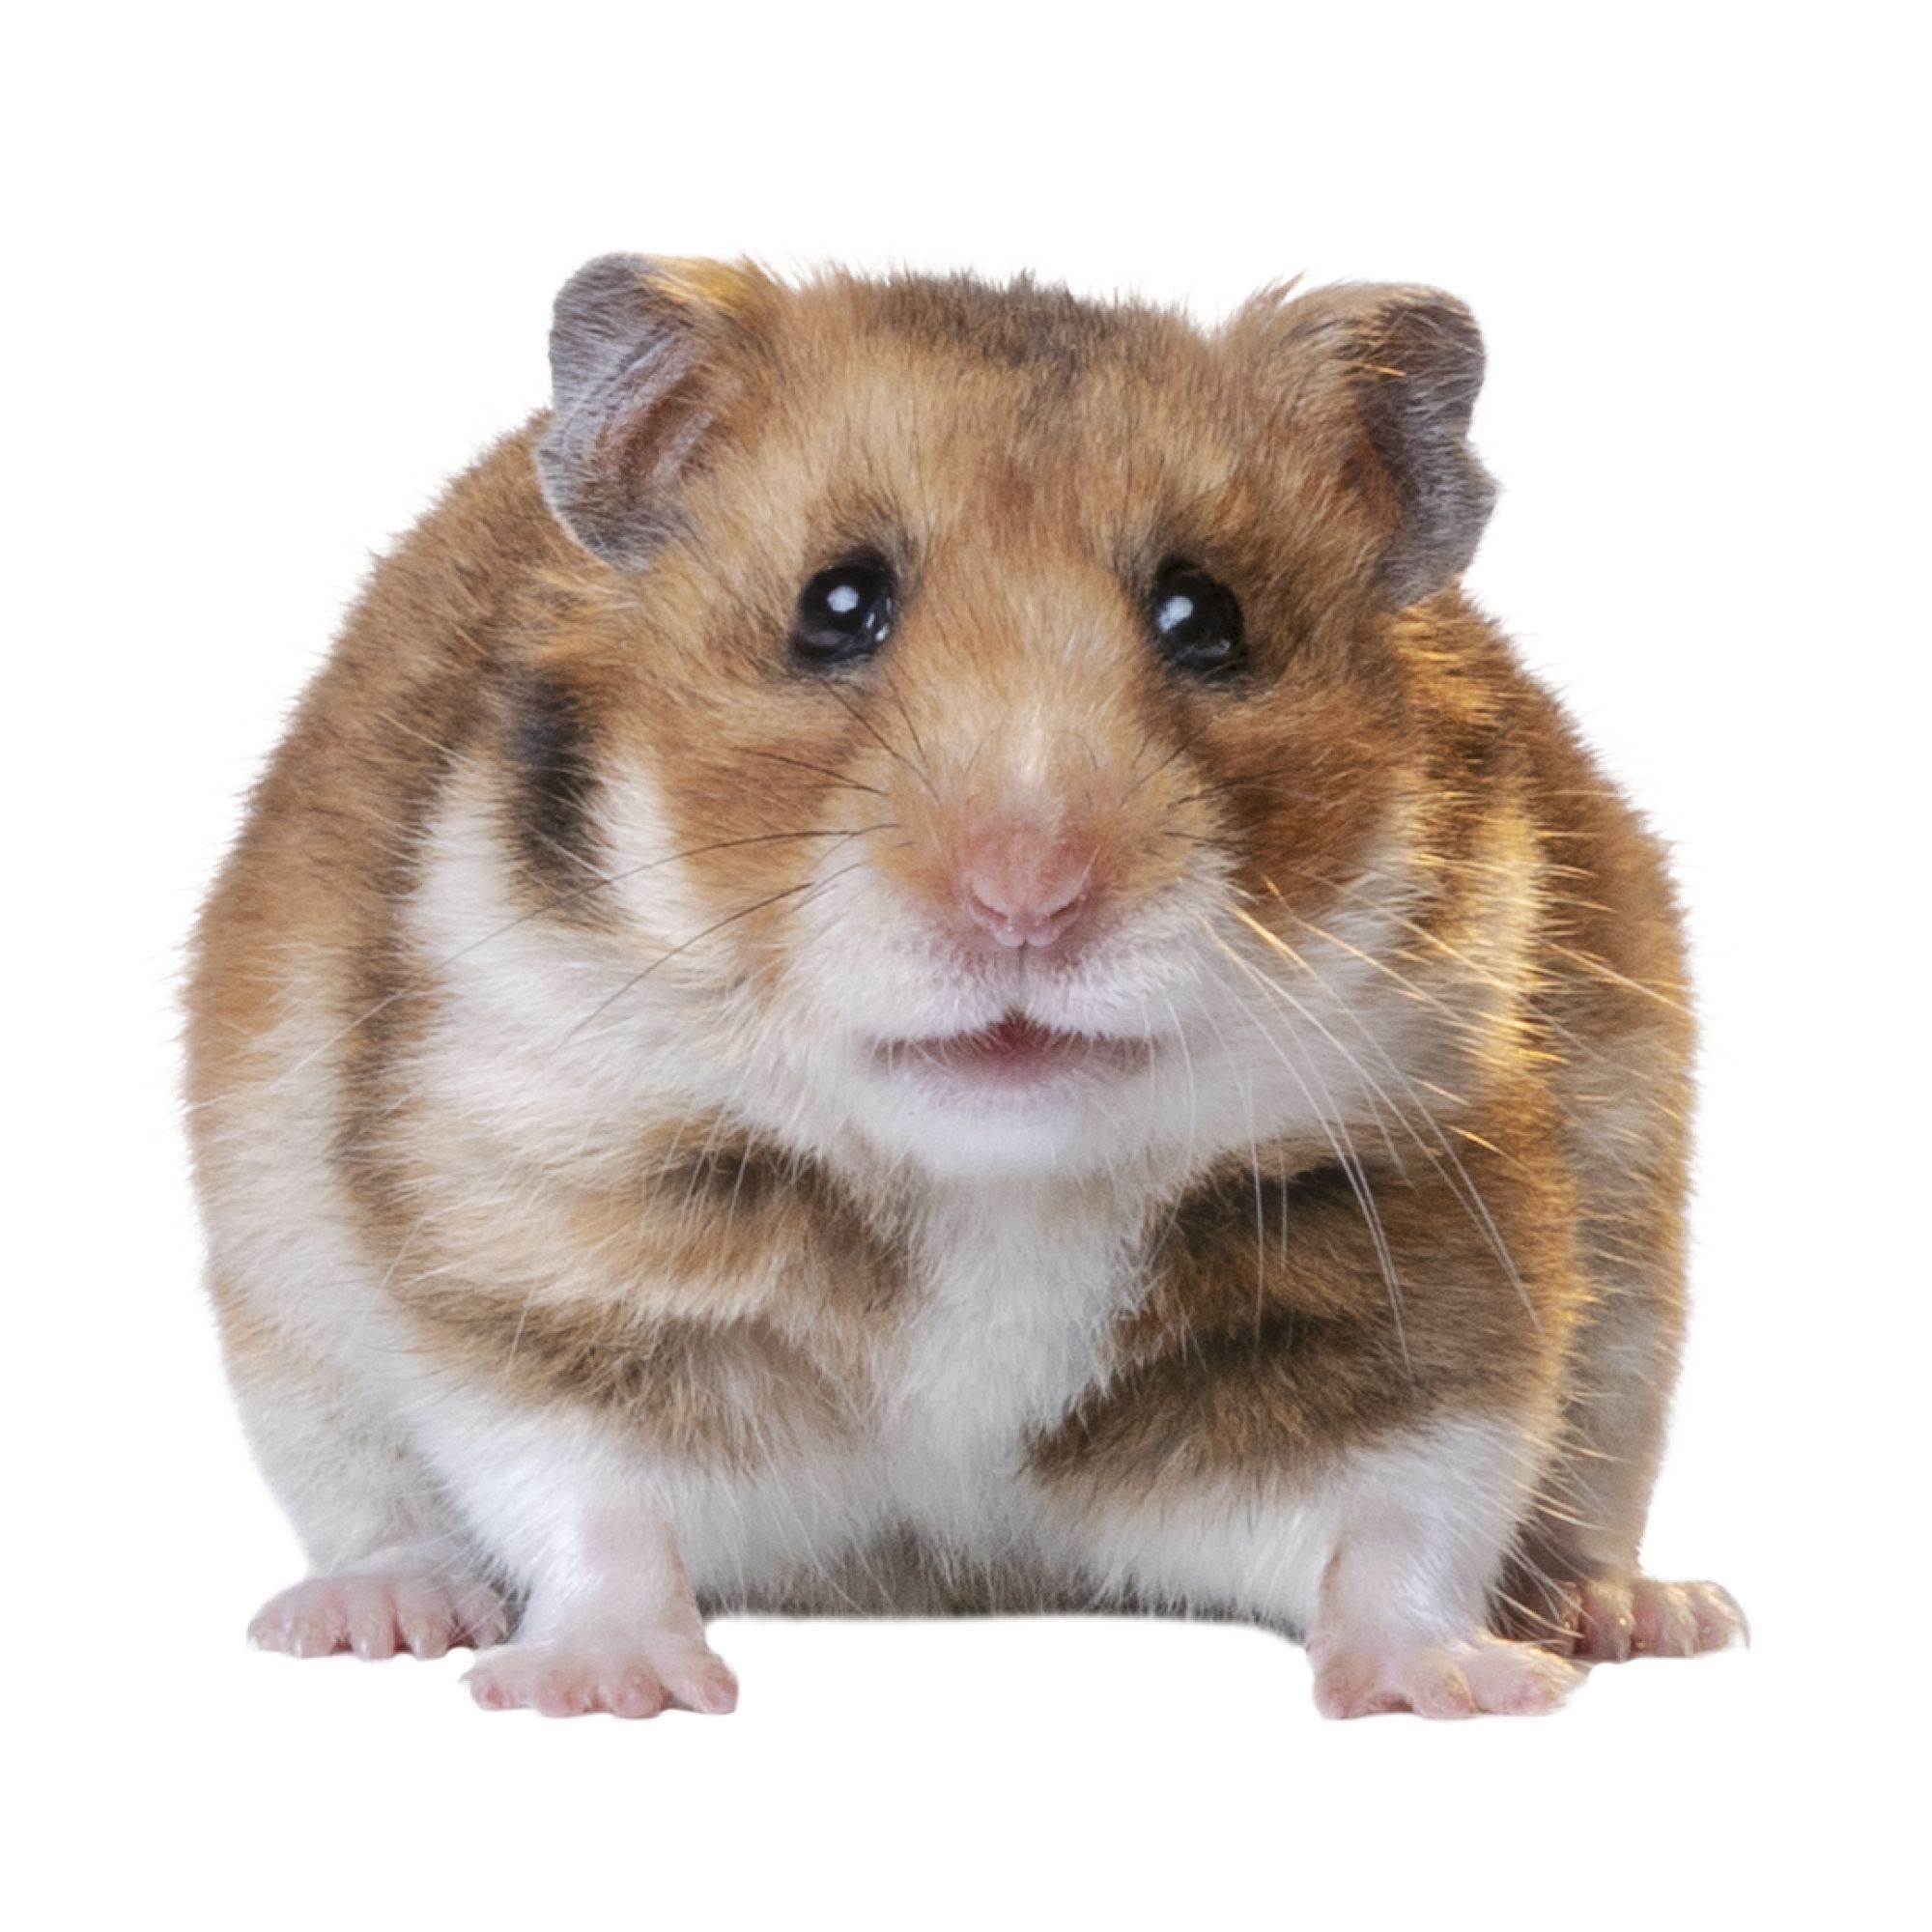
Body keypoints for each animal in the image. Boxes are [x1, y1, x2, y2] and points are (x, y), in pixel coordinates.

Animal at [185, 255, 1746, 1719]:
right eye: (834, 605)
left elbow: (1409, 1509)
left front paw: (1465, 1688)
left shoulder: (1428, 1239)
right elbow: (585, 1491)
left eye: (1209, 617)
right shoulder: (542, 1228)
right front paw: (606, 1688)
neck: (991, 1184)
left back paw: (1634, 1612)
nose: (1026, 901)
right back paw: (376, 1611)